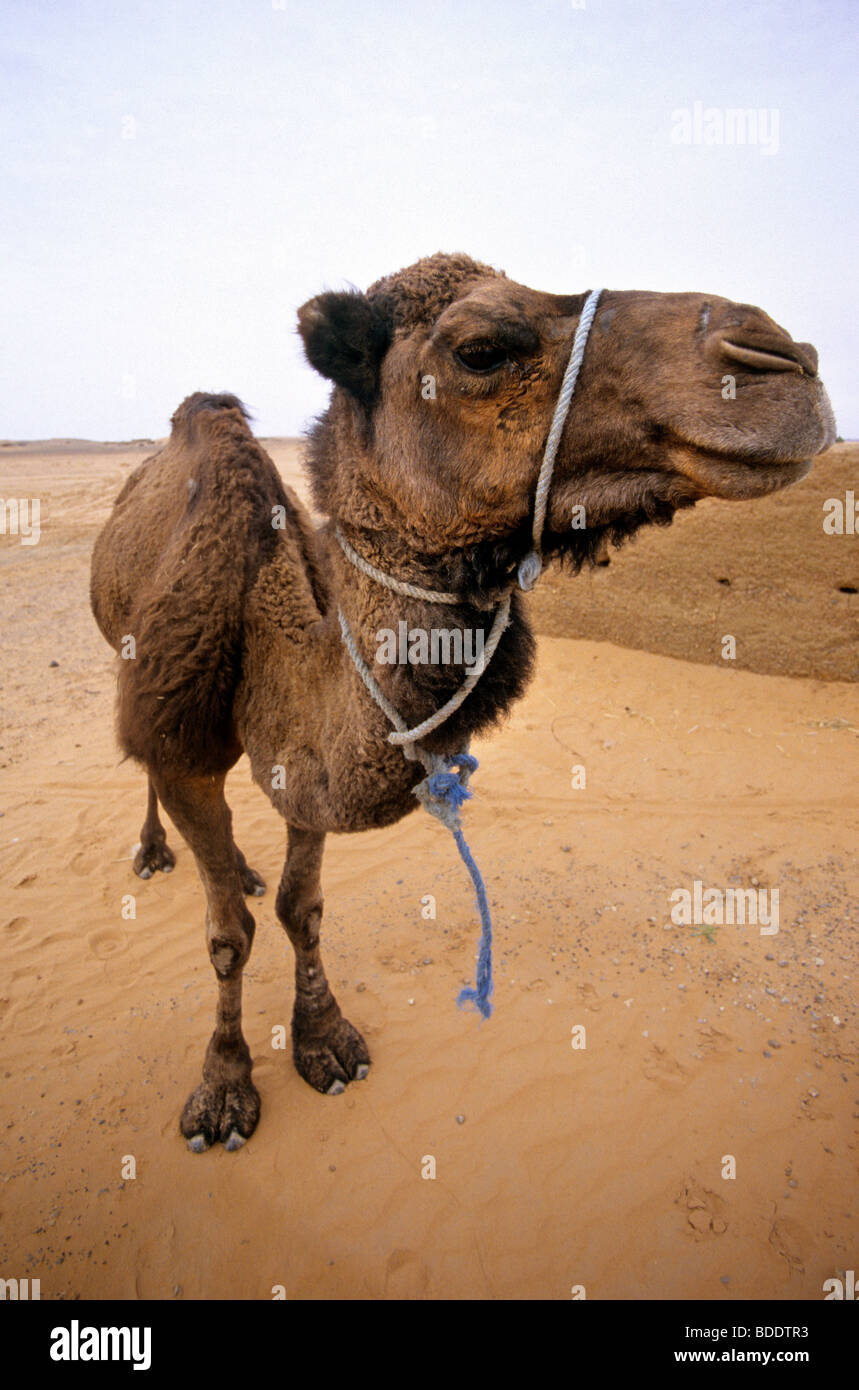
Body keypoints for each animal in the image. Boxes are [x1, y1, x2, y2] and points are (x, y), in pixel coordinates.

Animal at [90, 252, 835, 1152]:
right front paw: (224, 1089)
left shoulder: (304, 770)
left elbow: (304, 908)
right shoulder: (185, 747)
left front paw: (324, 1039)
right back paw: (159, 853)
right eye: (480, 350)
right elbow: (227, 936)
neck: (264, 626)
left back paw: (238, 866)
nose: (781, 359)